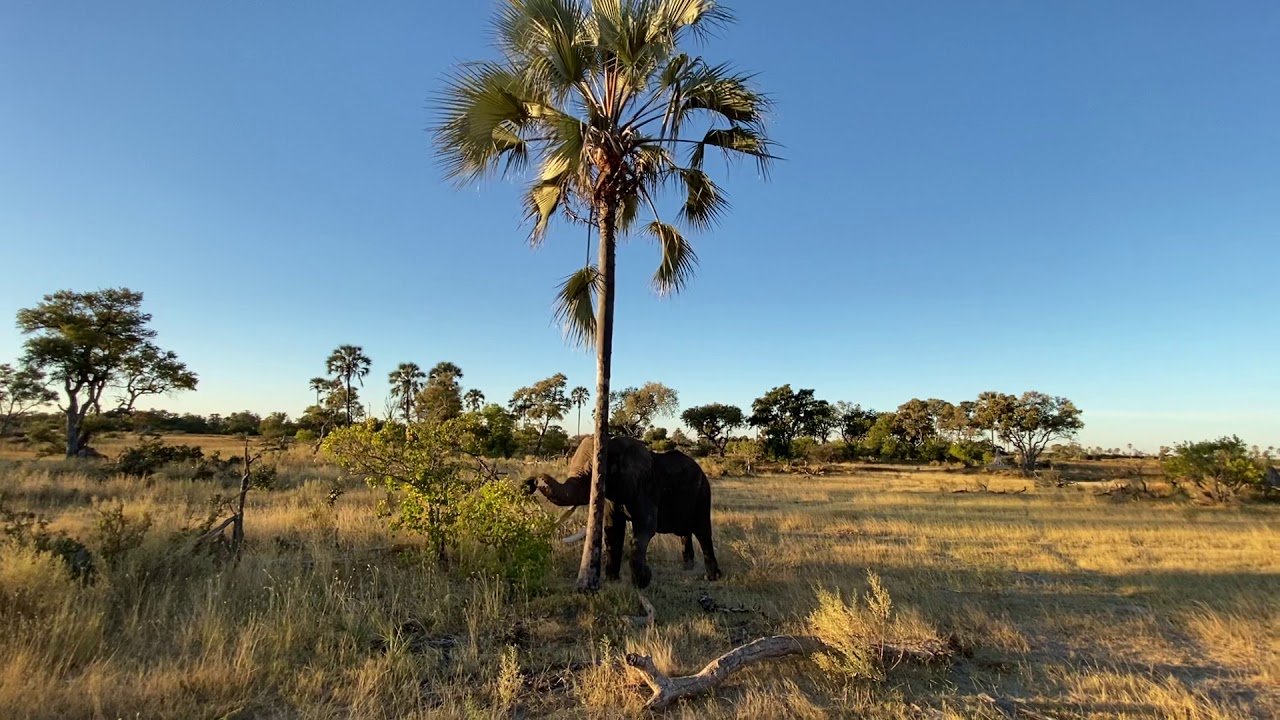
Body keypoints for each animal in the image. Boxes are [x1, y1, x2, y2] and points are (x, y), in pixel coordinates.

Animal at [525, 435, 720, 589]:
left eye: (593, 474)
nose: (530, 483)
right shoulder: (616, 492)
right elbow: (613, 529)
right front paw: (612, 581)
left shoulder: (646, 487)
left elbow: (646, 527)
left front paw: (643, 581)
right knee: (685, 533)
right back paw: (687, 569)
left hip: (703, 494)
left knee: (703, 532)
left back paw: (712, 577)